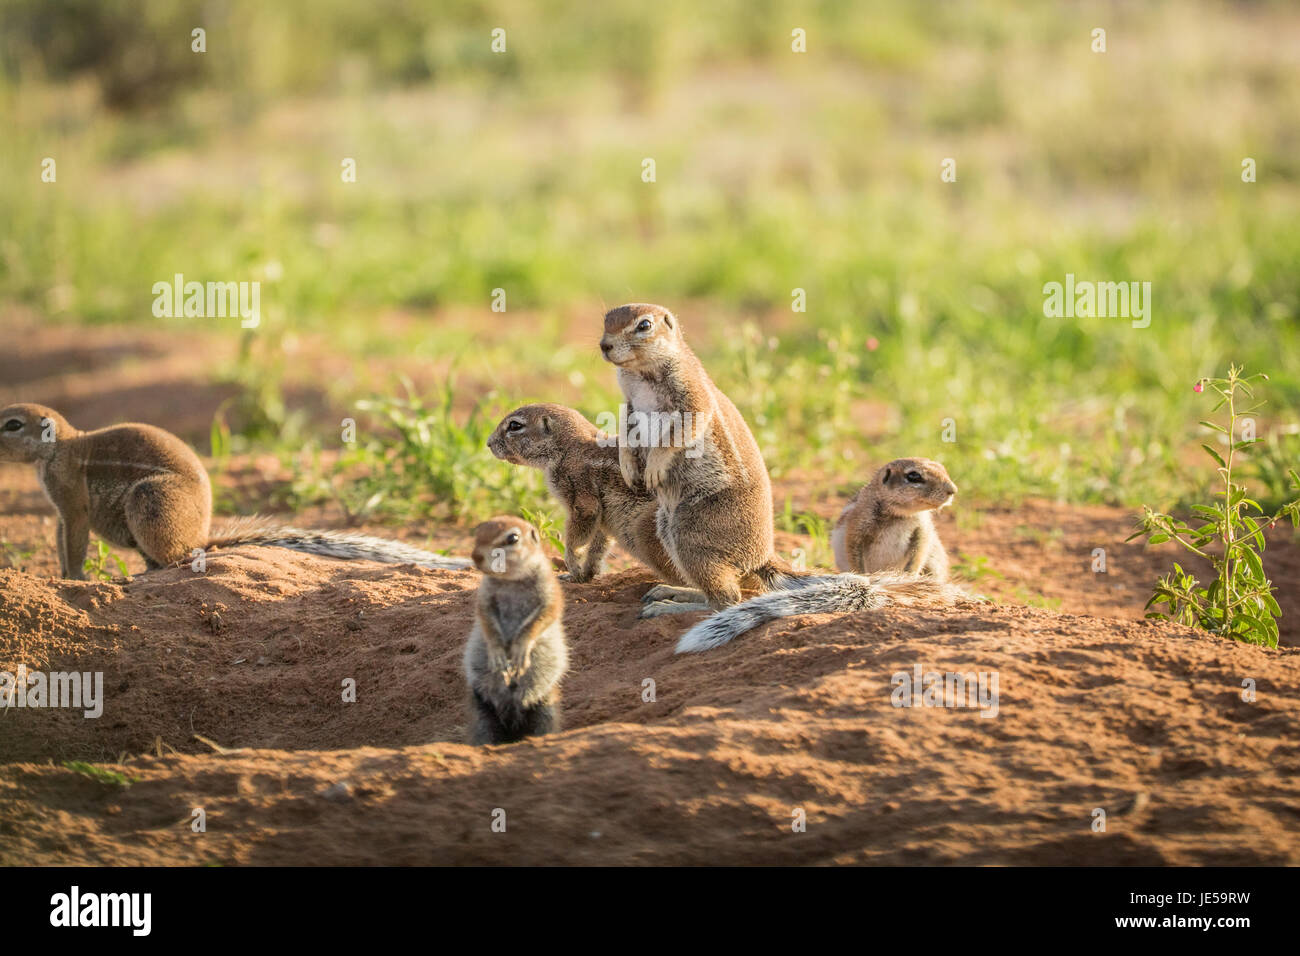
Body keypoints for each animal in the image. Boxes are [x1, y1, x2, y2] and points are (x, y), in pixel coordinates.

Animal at [0, 403, 470, 578]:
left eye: (12, 424)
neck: (58, 447)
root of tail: (200, 538)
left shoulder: (72, 501)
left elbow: (76, 540)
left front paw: (73, 580)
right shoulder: (59, 510)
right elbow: (61, 538)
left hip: (148, 498)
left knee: (173, 560)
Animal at [462, 516, 568, 745]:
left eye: (512, 538)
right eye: (478, 530)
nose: (475, 556)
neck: (511, 581)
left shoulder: (549, 594)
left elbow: (539, 621)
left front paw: (520, 651)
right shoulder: (484, 598)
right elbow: (486, 621)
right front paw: (498, 656)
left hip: (545, 709)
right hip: (481, 711)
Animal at [487, 402, 685, 586]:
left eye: (515, 425)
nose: (488, 443)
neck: (568, 448)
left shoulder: (579, 488)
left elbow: (579, 536)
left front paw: (572, 567)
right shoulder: (603, 517)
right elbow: (598, 544)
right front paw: (585, 574)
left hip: (645, 528)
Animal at [600, 303, 799, 617]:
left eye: (644, 325)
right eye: (606, 320)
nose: (604, 345)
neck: (641, 373)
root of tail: (761, 557)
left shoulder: (692, 396)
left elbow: (678, 433)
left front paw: (654, 467)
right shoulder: (629, 405)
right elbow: (626, 431)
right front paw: (629, 468)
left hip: (689, 532)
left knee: (727, 599)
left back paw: (666, 608)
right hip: (666, 527)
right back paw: (671, 592)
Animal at [675, 458, 963, 654]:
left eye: (944, 469)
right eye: (914, 476)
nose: (952, 490)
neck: (900, 516)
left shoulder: (922, 531)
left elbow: (917, 552)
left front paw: (910, 574)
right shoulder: (857, 529)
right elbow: (856, 554)